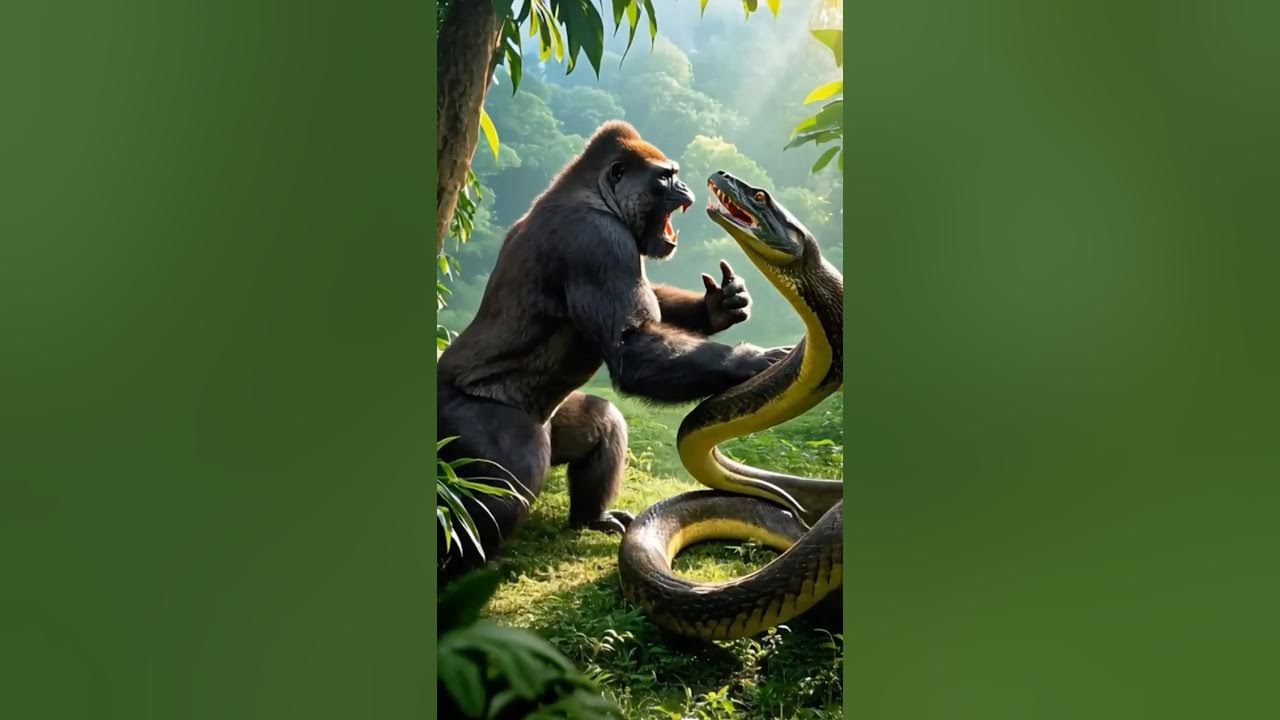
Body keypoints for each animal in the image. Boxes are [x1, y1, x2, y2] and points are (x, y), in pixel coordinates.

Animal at [437, 120, 783, 583]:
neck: (592, 191)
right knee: (506, 489)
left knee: (604, 420)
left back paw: (591, 518)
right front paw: (750, 361)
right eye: (665, 177)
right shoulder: (598, 240)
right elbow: (631, 347)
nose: (685, 187)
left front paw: (718, 307)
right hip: (462, 422)